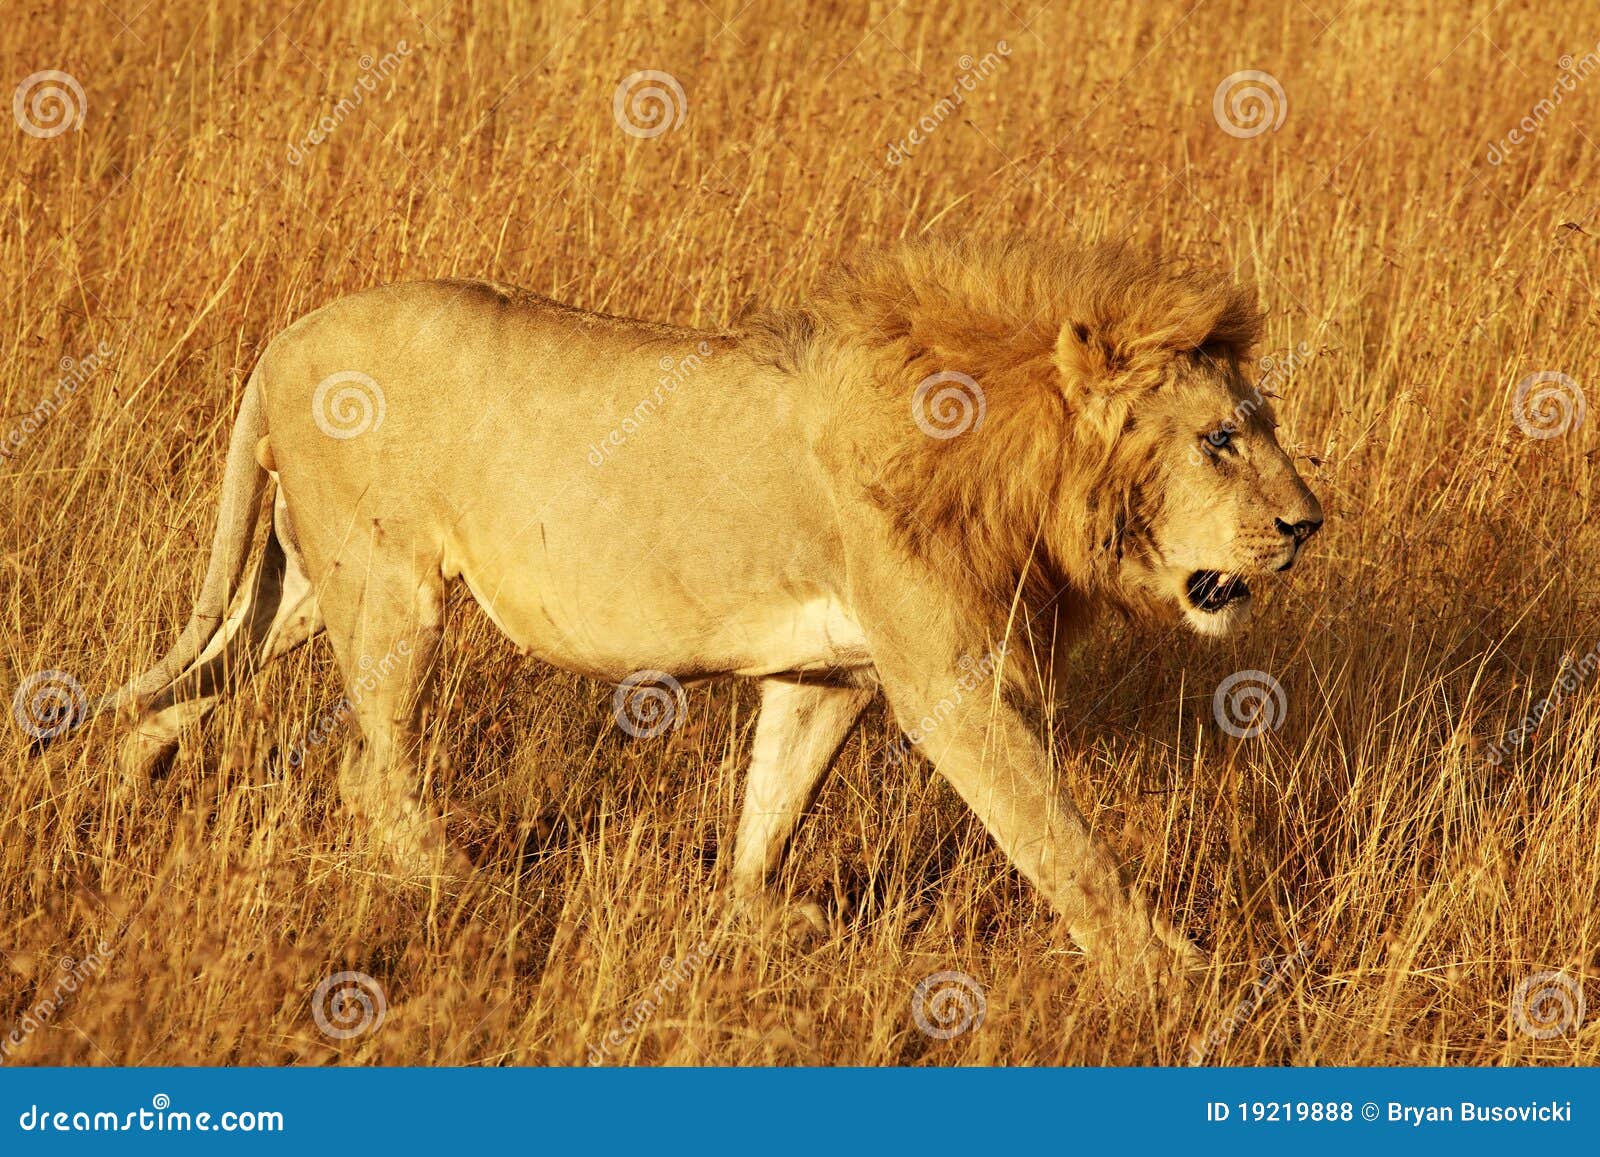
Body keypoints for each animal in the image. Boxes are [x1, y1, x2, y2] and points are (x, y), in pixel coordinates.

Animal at [83, 238, 1321, 993]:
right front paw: (1169, 971)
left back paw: (133, 774)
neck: (1011, 456)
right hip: (390, 586)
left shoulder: (830, 674)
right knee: (364, 770)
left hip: (306, 576)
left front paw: (756, 920)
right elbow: (1059, 839)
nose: (1309, 523)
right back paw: (465, 886)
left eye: (1255, 423)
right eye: (1220, 437)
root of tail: (284, 339)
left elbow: (773, 803)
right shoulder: (949, 682)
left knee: (209, 665)